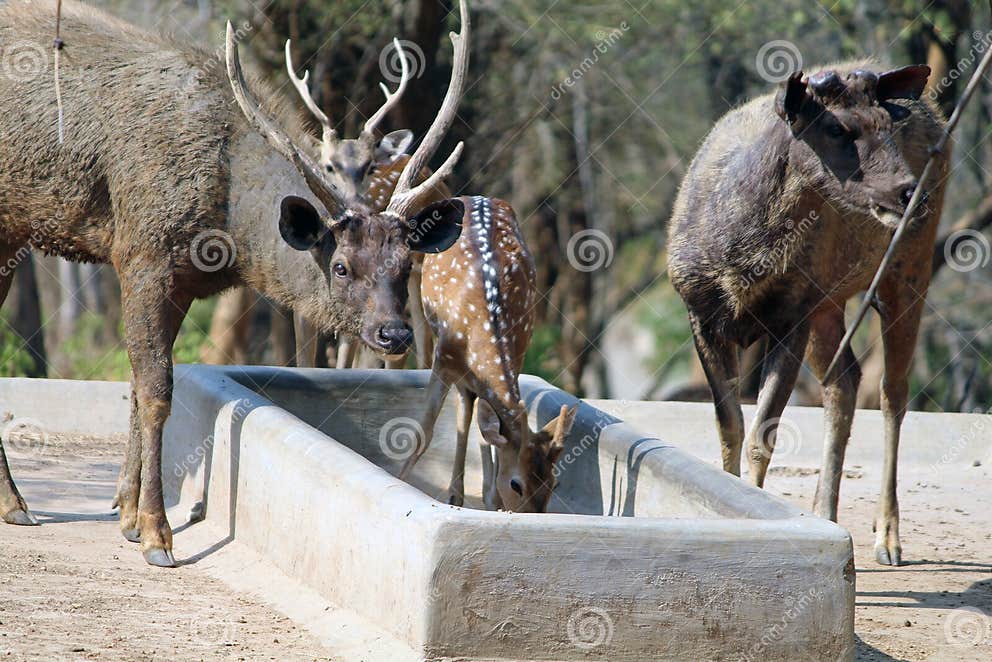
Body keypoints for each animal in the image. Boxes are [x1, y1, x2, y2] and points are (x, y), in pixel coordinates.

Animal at [0, 0, 469, 567]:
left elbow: (135, 387)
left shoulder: (181, 282)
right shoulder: (141, 253)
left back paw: (14, 502)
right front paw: (157, 534)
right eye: (340, 266)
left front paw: (128, 514)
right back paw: (17, 503)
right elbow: (155, 391)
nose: (394, 334)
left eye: (404, 264)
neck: (226, 224)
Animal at [397, 195, 578, 512]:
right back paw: (455, 494)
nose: (532, 516)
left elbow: (491, 433)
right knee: (464, 408)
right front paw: (399, 480)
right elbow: (423, 433)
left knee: (472, 409)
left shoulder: (519, 355)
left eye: (554, 484)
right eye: (516, 484)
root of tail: (476, 197)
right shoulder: (443, 357)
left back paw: (465, 494)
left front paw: (492, 499)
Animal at [668, 63, 948, 566]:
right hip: (828, 302)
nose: (909, 192)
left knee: (892, 390)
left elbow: (762, 435)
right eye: (837, 128)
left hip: (909, 265)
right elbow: (729, 426)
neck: (741, 261)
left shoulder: (791, 319)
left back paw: (887, 537)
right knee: (844, 379)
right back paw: (826, 513)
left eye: (887, 124)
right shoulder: (700, 312)